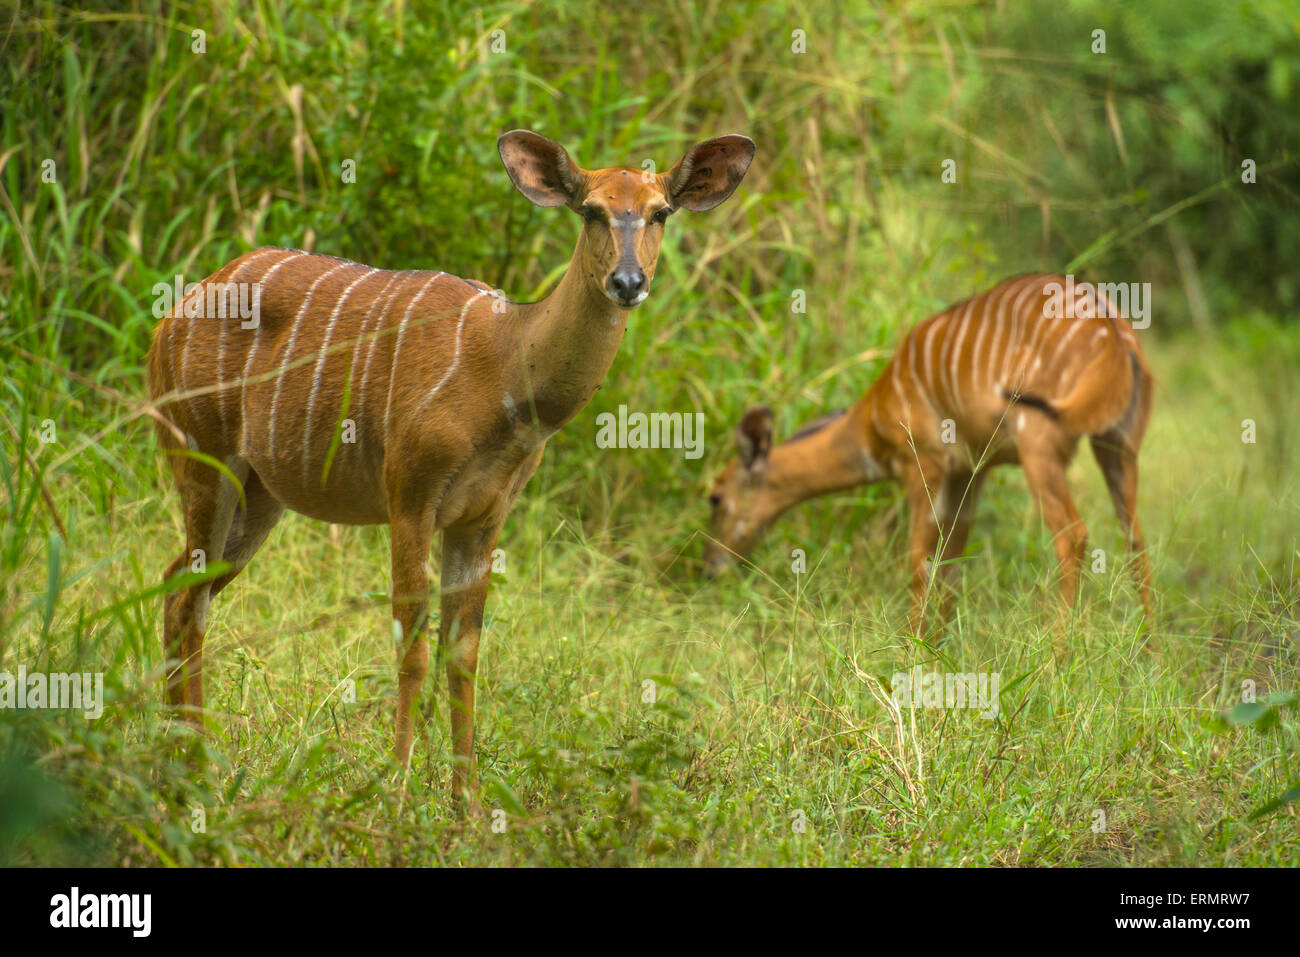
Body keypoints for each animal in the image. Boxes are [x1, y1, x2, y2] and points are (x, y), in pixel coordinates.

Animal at [148, 130, 755, 808]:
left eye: (661, 212)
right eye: (592, 210)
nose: (628, 281)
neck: (507, 368)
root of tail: (171, 316)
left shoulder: (482, 516)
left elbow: (464, 652)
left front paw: (465, 805)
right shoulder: (409, 496)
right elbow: (411, 647)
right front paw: (396, 792)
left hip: (261, 493)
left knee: (181, 588)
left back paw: (183, 764)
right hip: (202, 456)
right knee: (187, 595)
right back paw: (193, 770)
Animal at [702, 273, 1154, 639]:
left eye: (716, 497)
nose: (711, 566)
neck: (871, 418)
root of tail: (1114, 333)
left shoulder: (924, 463)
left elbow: (920, 561)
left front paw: (910, 649)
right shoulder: (970, 472)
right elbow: (951, 563)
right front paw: (937, 645)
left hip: (1038, 442)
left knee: (1072, 536)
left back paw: (1055, 659)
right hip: (1118, 446)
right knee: (1135, 540)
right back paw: (1148, 652)